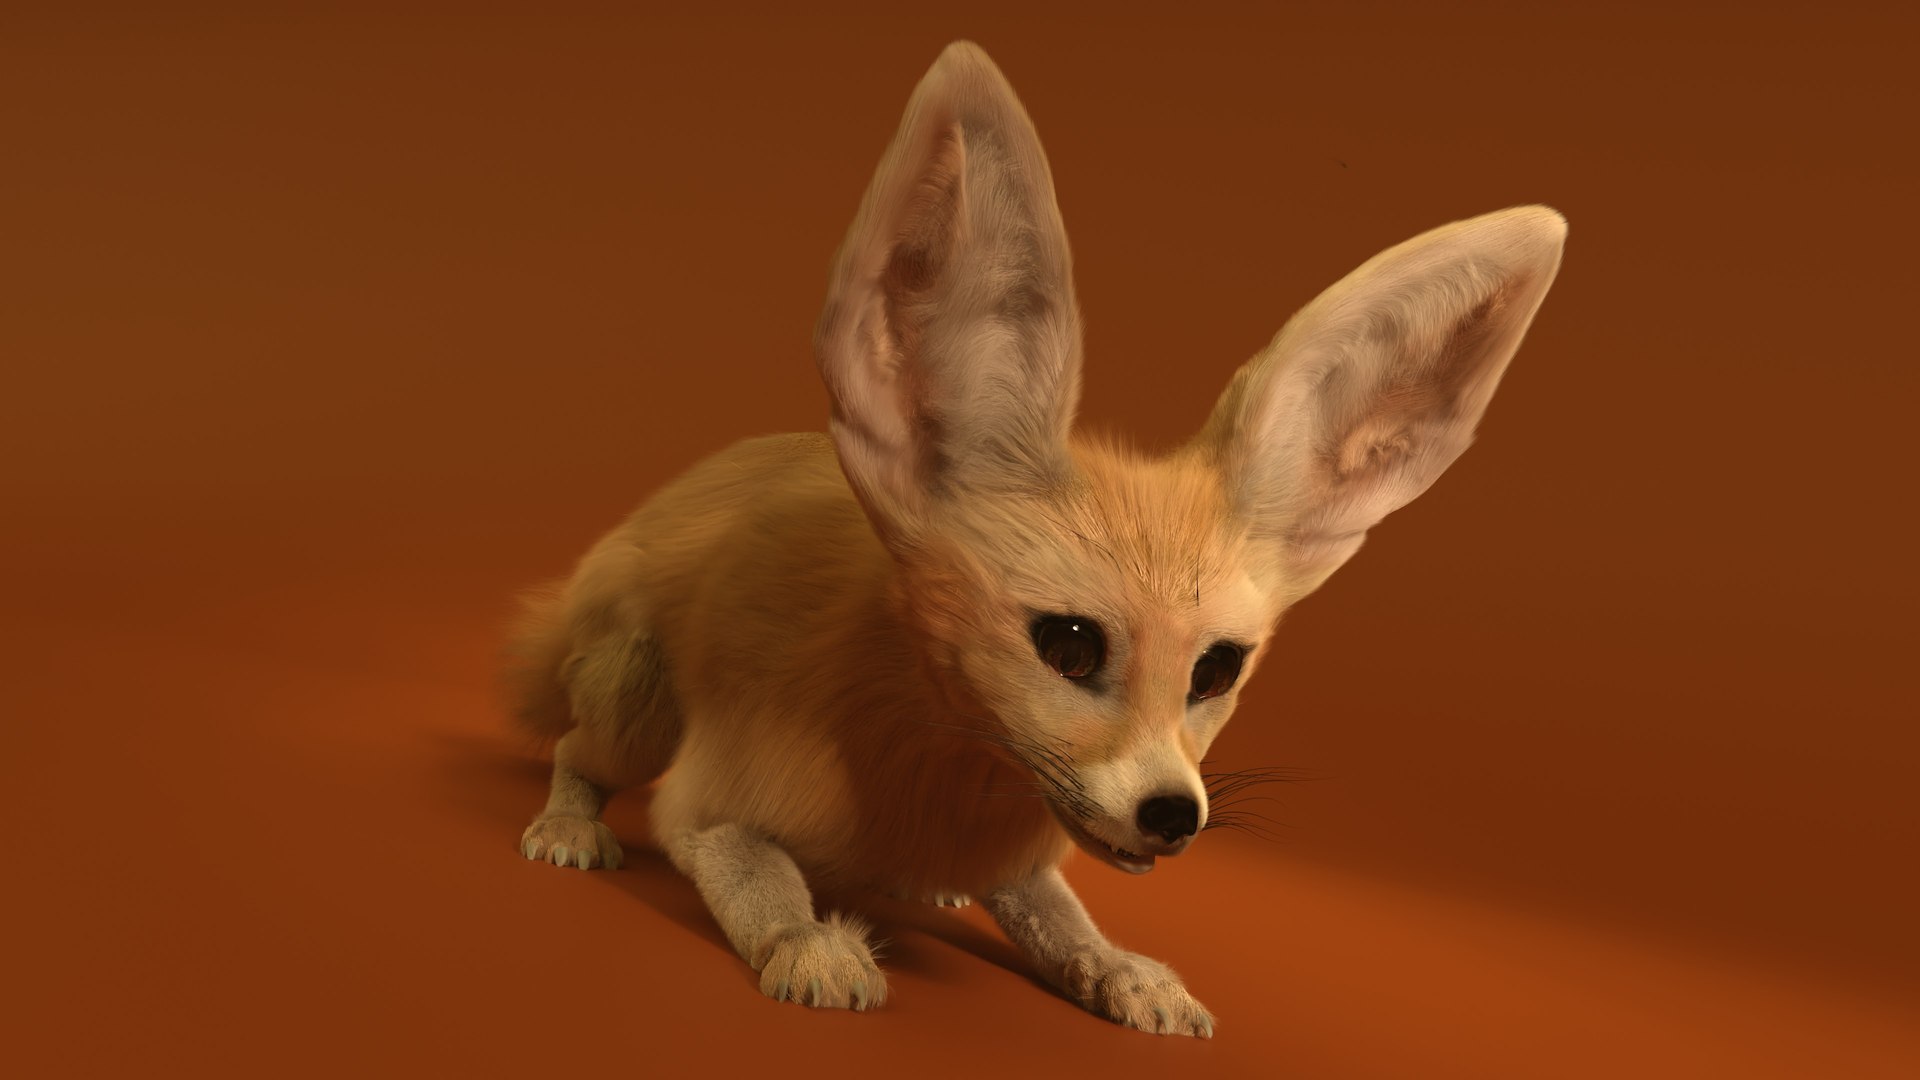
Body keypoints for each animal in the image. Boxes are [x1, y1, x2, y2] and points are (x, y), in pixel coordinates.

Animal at [504, 41, 1565, 1037]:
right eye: (1070, 645)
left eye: (1217, 670)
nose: (1175, 815)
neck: (930, 773)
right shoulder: (710, 801)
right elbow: (761, 880)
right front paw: (812, 944)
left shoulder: (1026, 852)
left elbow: (1065, 926)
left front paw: (1123, 971)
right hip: (637, 701)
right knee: (577, 746)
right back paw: (568, 825)